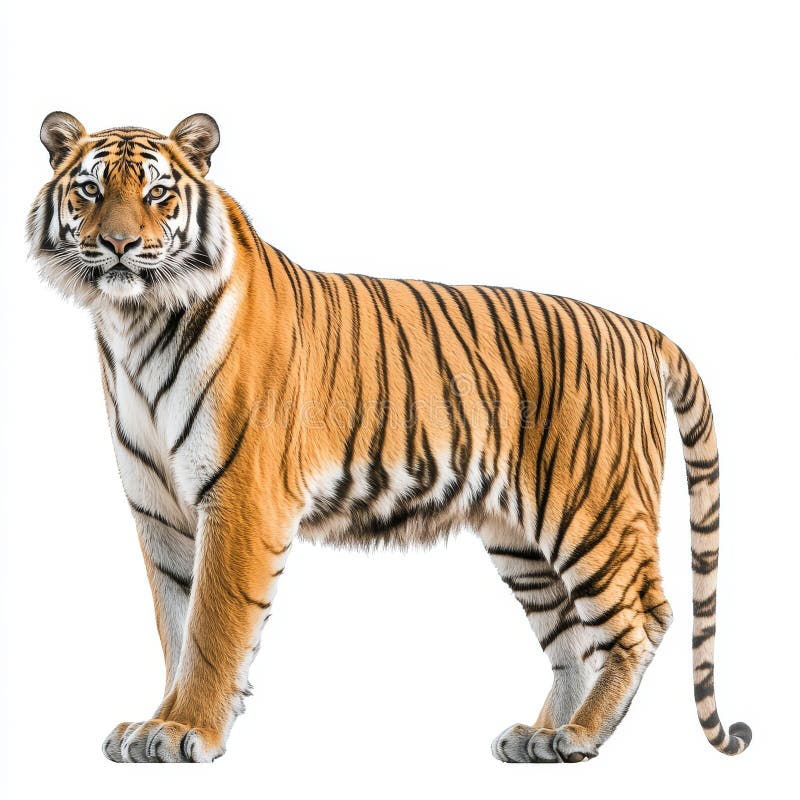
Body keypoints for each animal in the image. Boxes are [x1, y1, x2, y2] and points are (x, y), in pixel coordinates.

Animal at [27, 111, 751, 764]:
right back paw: (541, 736)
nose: (119, 245)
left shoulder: (240, 499)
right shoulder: (160, 509)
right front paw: (157, 723)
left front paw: (187, 732)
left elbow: (212, 627)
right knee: (572, 639)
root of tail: (638, 328)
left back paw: (581, 736)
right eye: (90, 190)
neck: (135, 322)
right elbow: (176, 627)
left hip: (592, 508)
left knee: (641, 617)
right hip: (520, 539)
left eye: (157, 193)